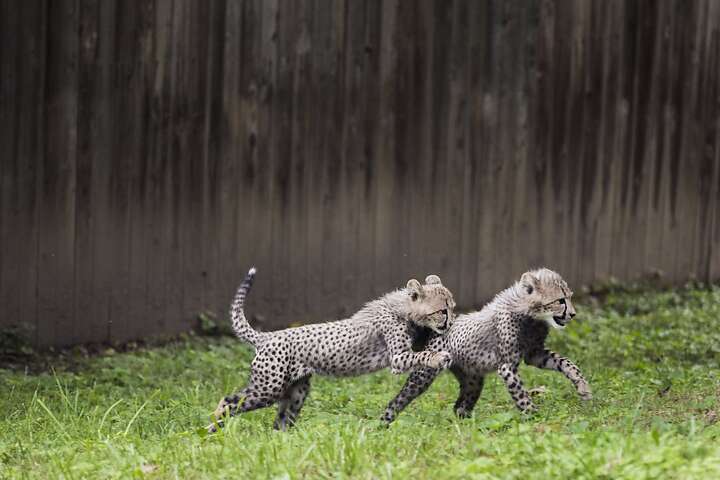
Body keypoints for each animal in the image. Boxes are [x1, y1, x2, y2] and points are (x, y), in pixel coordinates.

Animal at [209, 267, 457, 432]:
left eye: (453, 308)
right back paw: (213, 430)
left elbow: (422, 346)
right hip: (268, 388)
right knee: (228, 401)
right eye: (442, 311)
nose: (451, 322)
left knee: (280, 420)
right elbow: (422, 354)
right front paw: (438, 357)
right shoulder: (397, 358)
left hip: (295, 392)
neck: (403, 308)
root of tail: (267, 336)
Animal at [382, 267, 591, 424]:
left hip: (473, 380)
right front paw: (535, 416)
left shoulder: (535, 354)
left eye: (569, 297)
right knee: (399, 398)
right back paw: (384, 422)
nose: (572, 314)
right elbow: (521, 394)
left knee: (459, 407)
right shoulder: (507, 366)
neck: (531, 317)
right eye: (560, 300)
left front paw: (582, 385)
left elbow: (566, 362)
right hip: (425, 373)